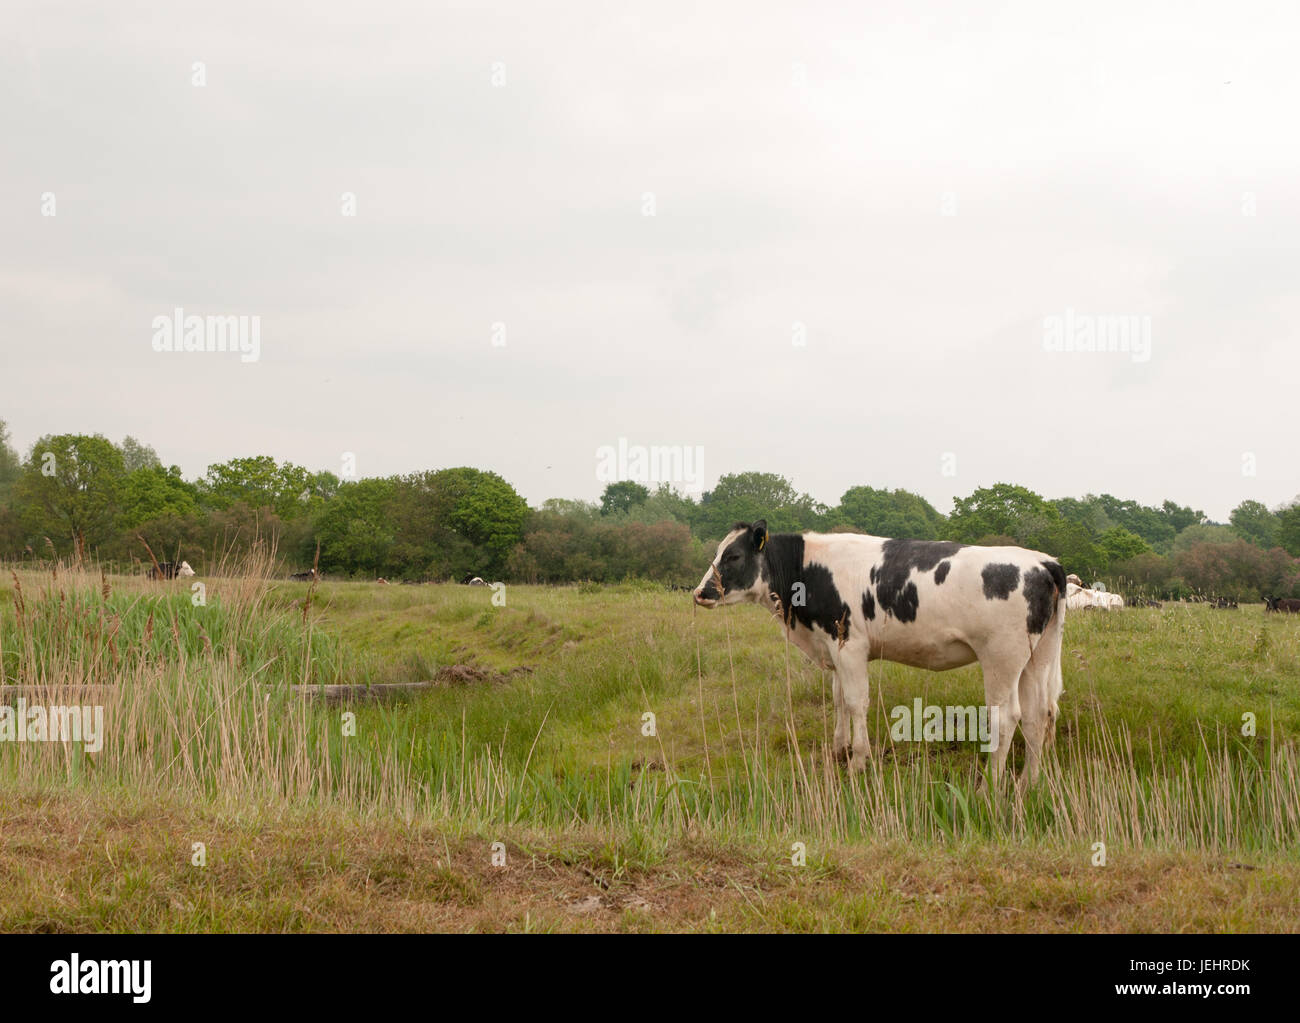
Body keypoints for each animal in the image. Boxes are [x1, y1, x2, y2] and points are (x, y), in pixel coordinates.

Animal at [692, 521, 1066, 789]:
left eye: (733, 556)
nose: (700, 593)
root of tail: (1042, 561)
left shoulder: (850, 646)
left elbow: (856, 702)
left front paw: (858, 762)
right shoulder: (833, 647)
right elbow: (839, 699)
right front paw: (838, 750)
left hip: (1001, 658)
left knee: (1006, 718)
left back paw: (989, 786)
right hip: (1038, 657)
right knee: (1039, 714)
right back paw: (1029, 782)